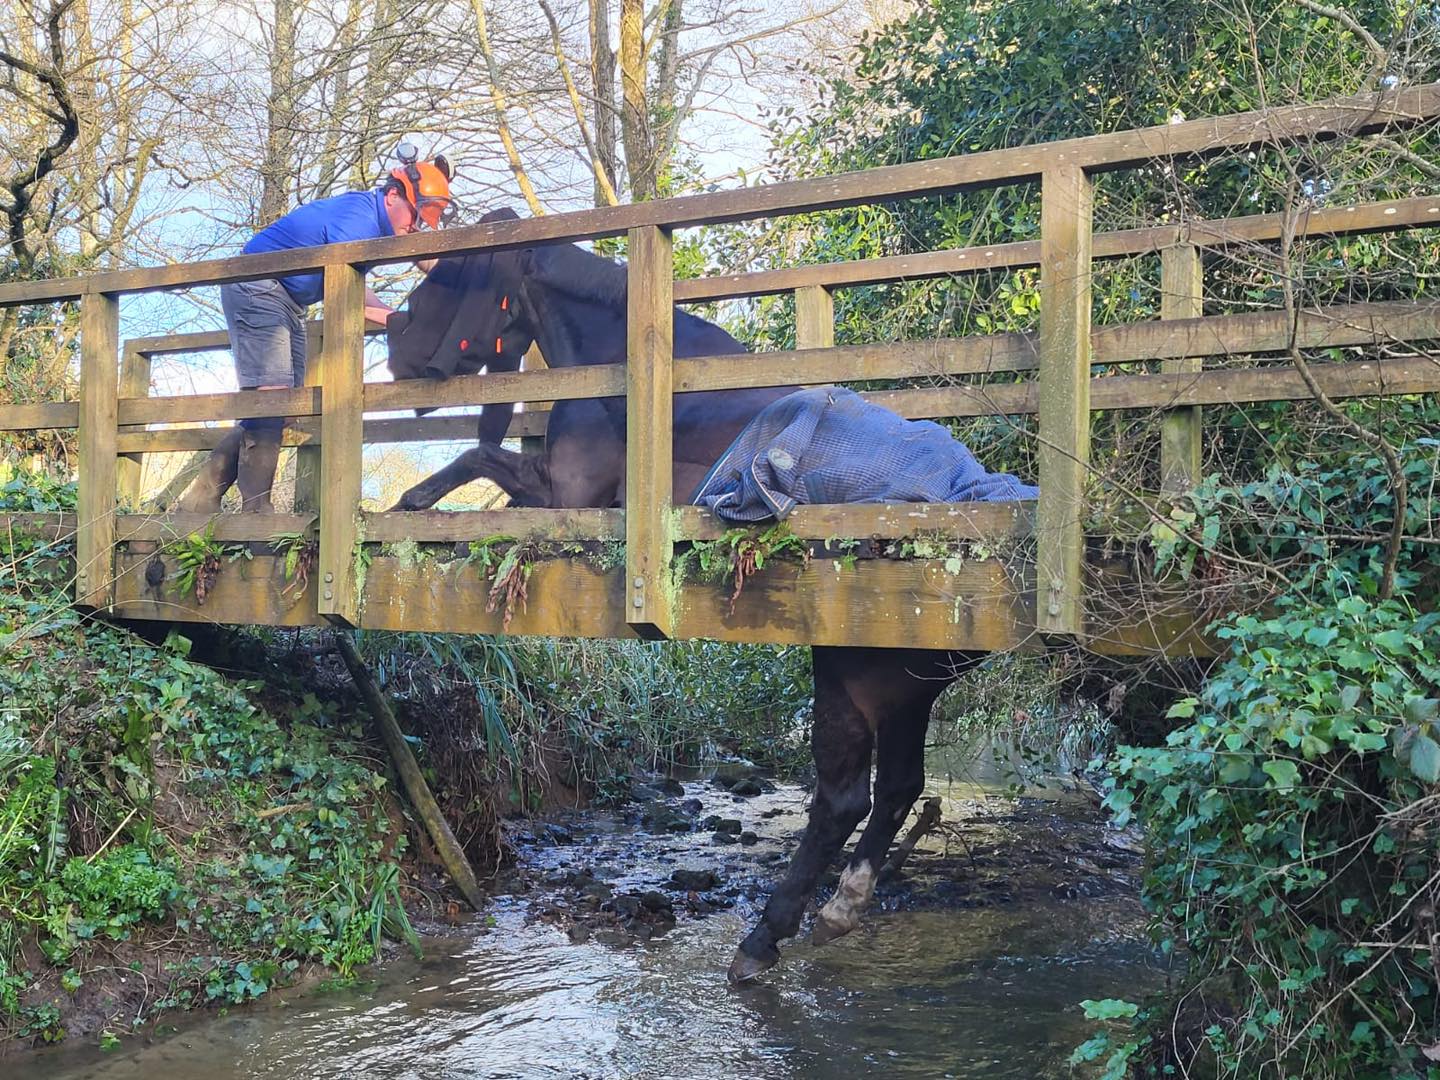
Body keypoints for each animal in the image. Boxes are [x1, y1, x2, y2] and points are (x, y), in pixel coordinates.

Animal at [385, 210, 986, 982]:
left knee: (844, 797)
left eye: (448, 273)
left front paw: (409, 504)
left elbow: (477, 457)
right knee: (899, 788)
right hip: (905, 682)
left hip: (850, 666)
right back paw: (838, 910)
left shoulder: (570, 499)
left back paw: (763, 939)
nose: (394, 340)